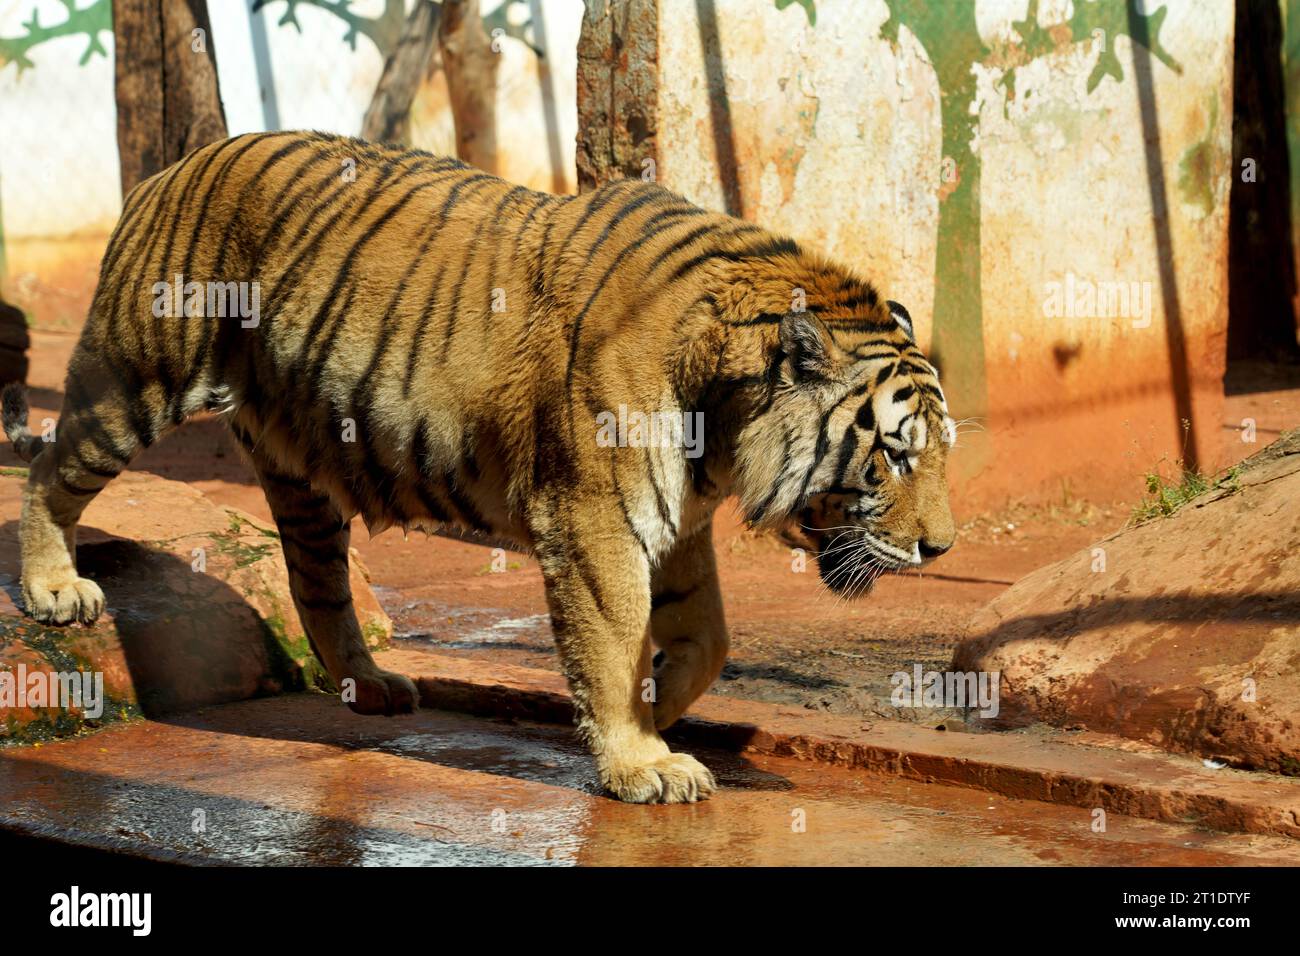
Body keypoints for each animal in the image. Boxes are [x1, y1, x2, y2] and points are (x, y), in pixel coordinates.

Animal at [3, 131, 956, 804]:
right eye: (893, 453)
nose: (942, 551)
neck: (719, 429)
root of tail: (172, 167)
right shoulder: (593, 522)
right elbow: (613, 636)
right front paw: (641, 760)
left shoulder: (678, 522)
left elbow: (708, 637)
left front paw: (653, 708)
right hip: (138, 373)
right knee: (49, 467)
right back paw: (53, 589)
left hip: (304, 475)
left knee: (318, 587)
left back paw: (371, 684)